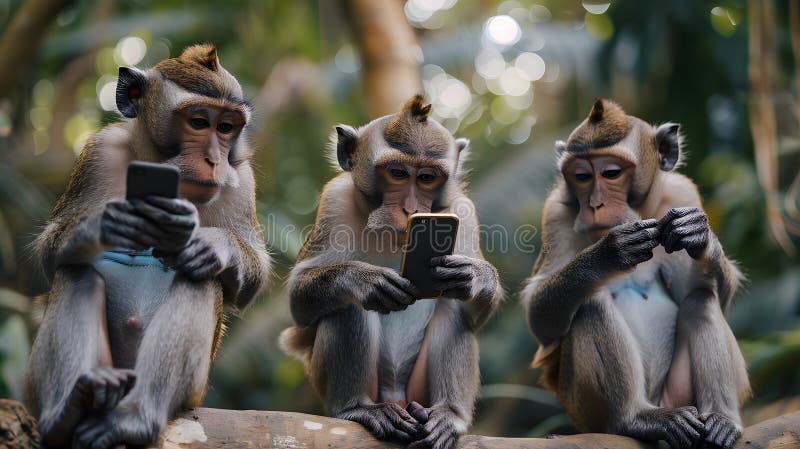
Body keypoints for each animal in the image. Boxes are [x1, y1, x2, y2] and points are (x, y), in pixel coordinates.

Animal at [23, 44, 271, 449]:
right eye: (199, 122)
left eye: (226, 128)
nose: (214, 160)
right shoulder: (98, 152)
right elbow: (49, 257)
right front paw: (99, 225)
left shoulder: (241, 178)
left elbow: (250, 279)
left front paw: (214, 245)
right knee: (75, 273)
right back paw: (66, 411)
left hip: (192, 391)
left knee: (202, 279)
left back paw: (137, 418)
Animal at [279, 96, 502, 449]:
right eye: (398, 173)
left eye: (427, 178)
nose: (411, 209)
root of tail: (396, 397)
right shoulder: (333, 201)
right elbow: (299, 303)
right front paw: (363, 280)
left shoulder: (463, 212)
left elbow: (474, 313)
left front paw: (475, 276)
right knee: (347, 308)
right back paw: (357, 408)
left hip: (418, 392)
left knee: (454, 312)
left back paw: (449, 415)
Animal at [520, 99, 749, 449]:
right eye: (581, 176)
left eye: (611, 173)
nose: (595, 205)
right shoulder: (556, 212)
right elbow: (540, 319)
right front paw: (609, 253)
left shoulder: (681, 194)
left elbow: (702, 292)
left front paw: (699, 235)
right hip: (586, 412)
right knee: (590, 305)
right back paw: (636, 418)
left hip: (679, 395)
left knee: (701, 300)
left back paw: (721, 420)